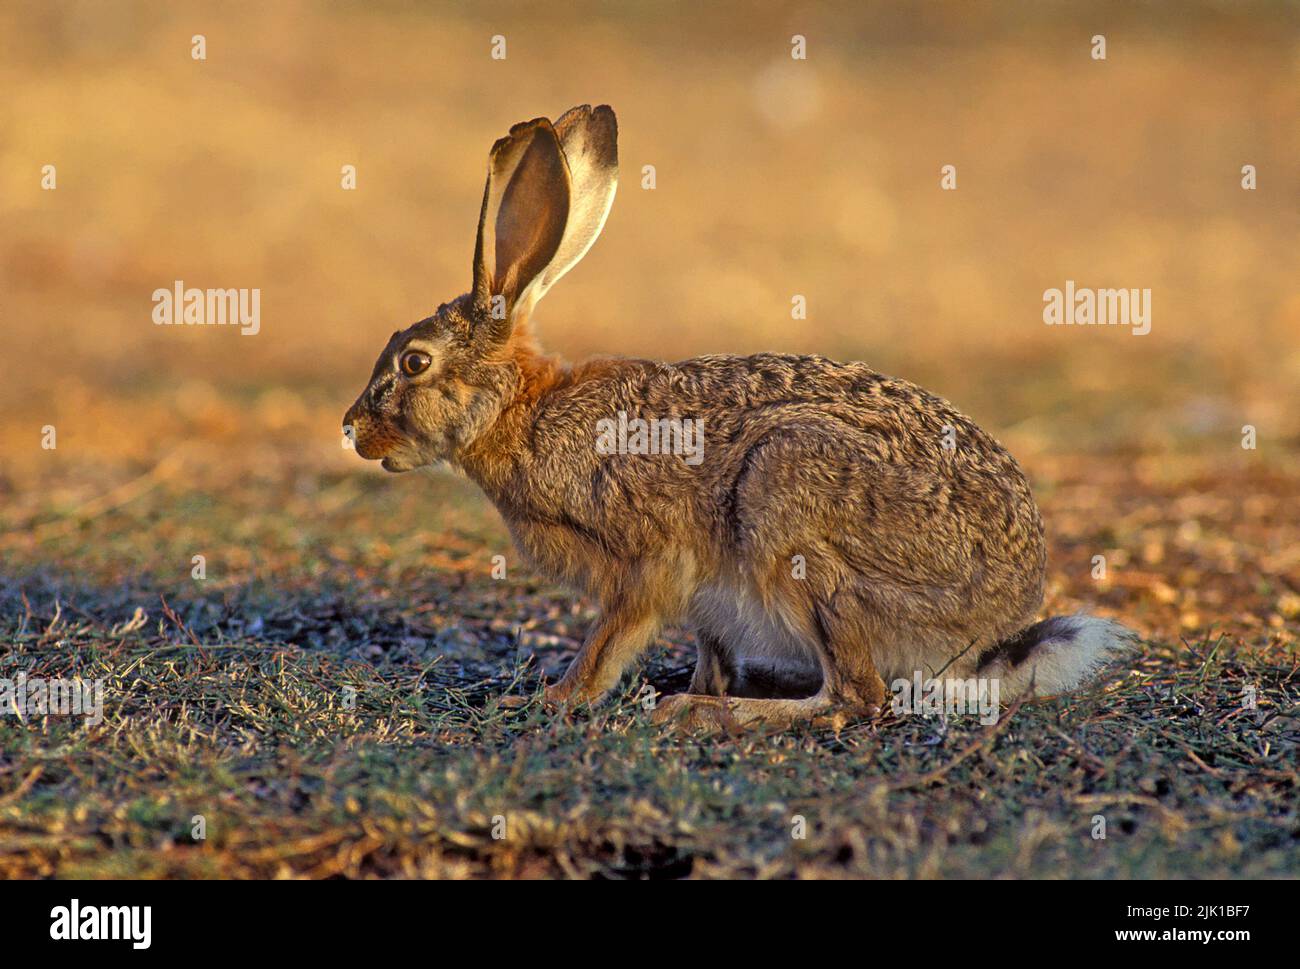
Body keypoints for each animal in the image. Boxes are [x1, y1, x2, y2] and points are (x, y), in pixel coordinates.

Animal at [343, 104, 1132, 730]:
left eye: (413, 362)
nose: (350, 429)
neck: (521, 411)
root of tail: (998, 626)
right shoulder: (704, 603)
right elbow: (709, 649)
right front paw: (686, 681)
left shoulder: (648, 560)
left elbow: (607, 643)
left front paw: (552, 699)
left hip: (791, 504)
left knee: (856, 696)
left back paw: (705, 714)